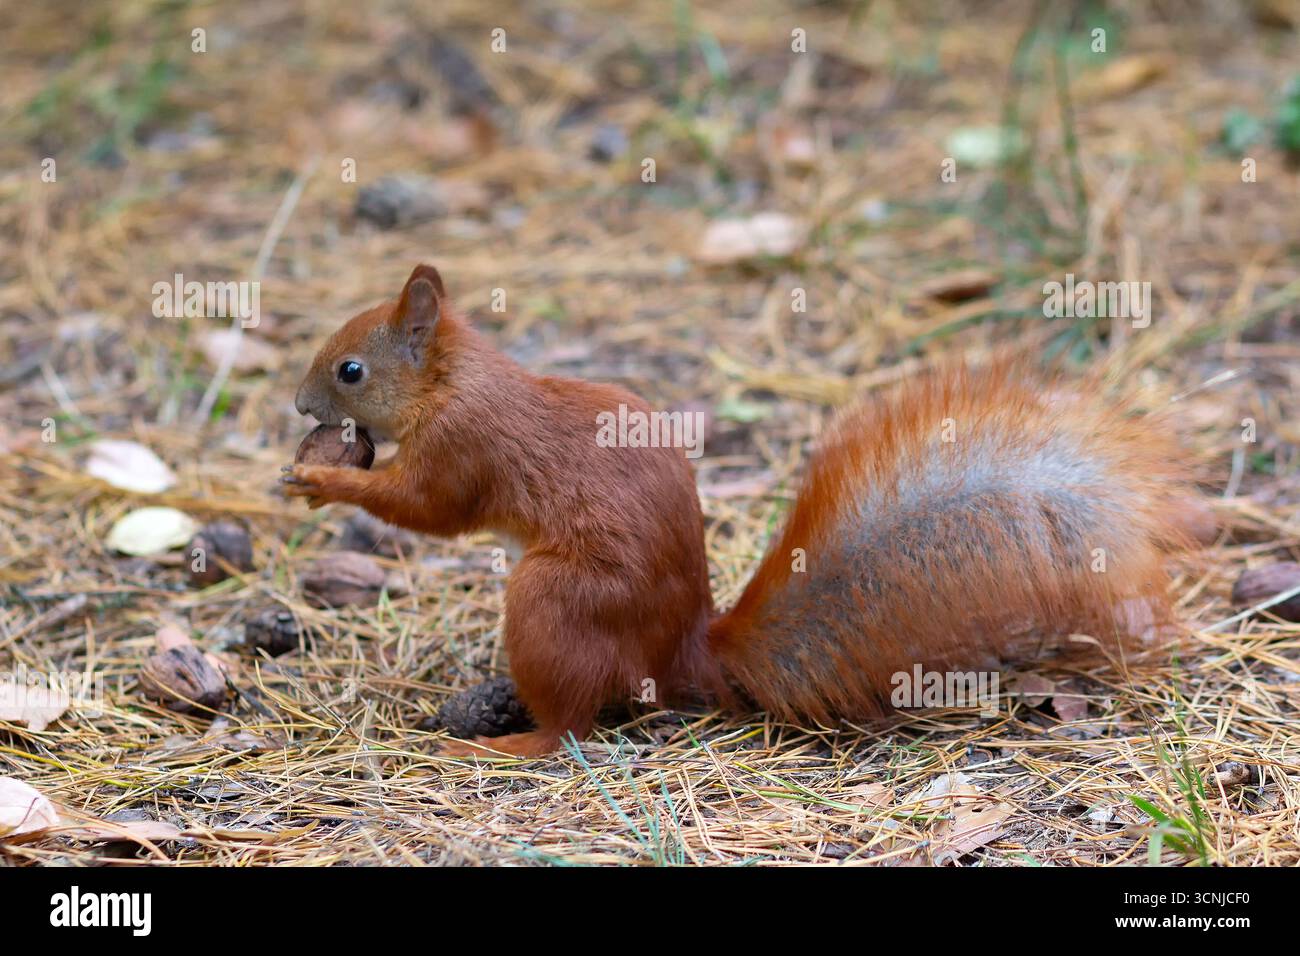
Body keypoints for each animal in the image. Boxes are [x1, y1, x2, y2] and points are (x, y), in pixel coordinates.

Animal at [285, 263, 1201, 758]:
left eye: (352, 370)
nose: (299, 406)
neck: (452, 379)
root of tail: (683, 651)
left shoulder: (464, 446)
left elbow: (430, 508)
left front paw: (323, 482)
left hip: (555, 599)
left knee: (574, 724)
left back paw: (515, 740)